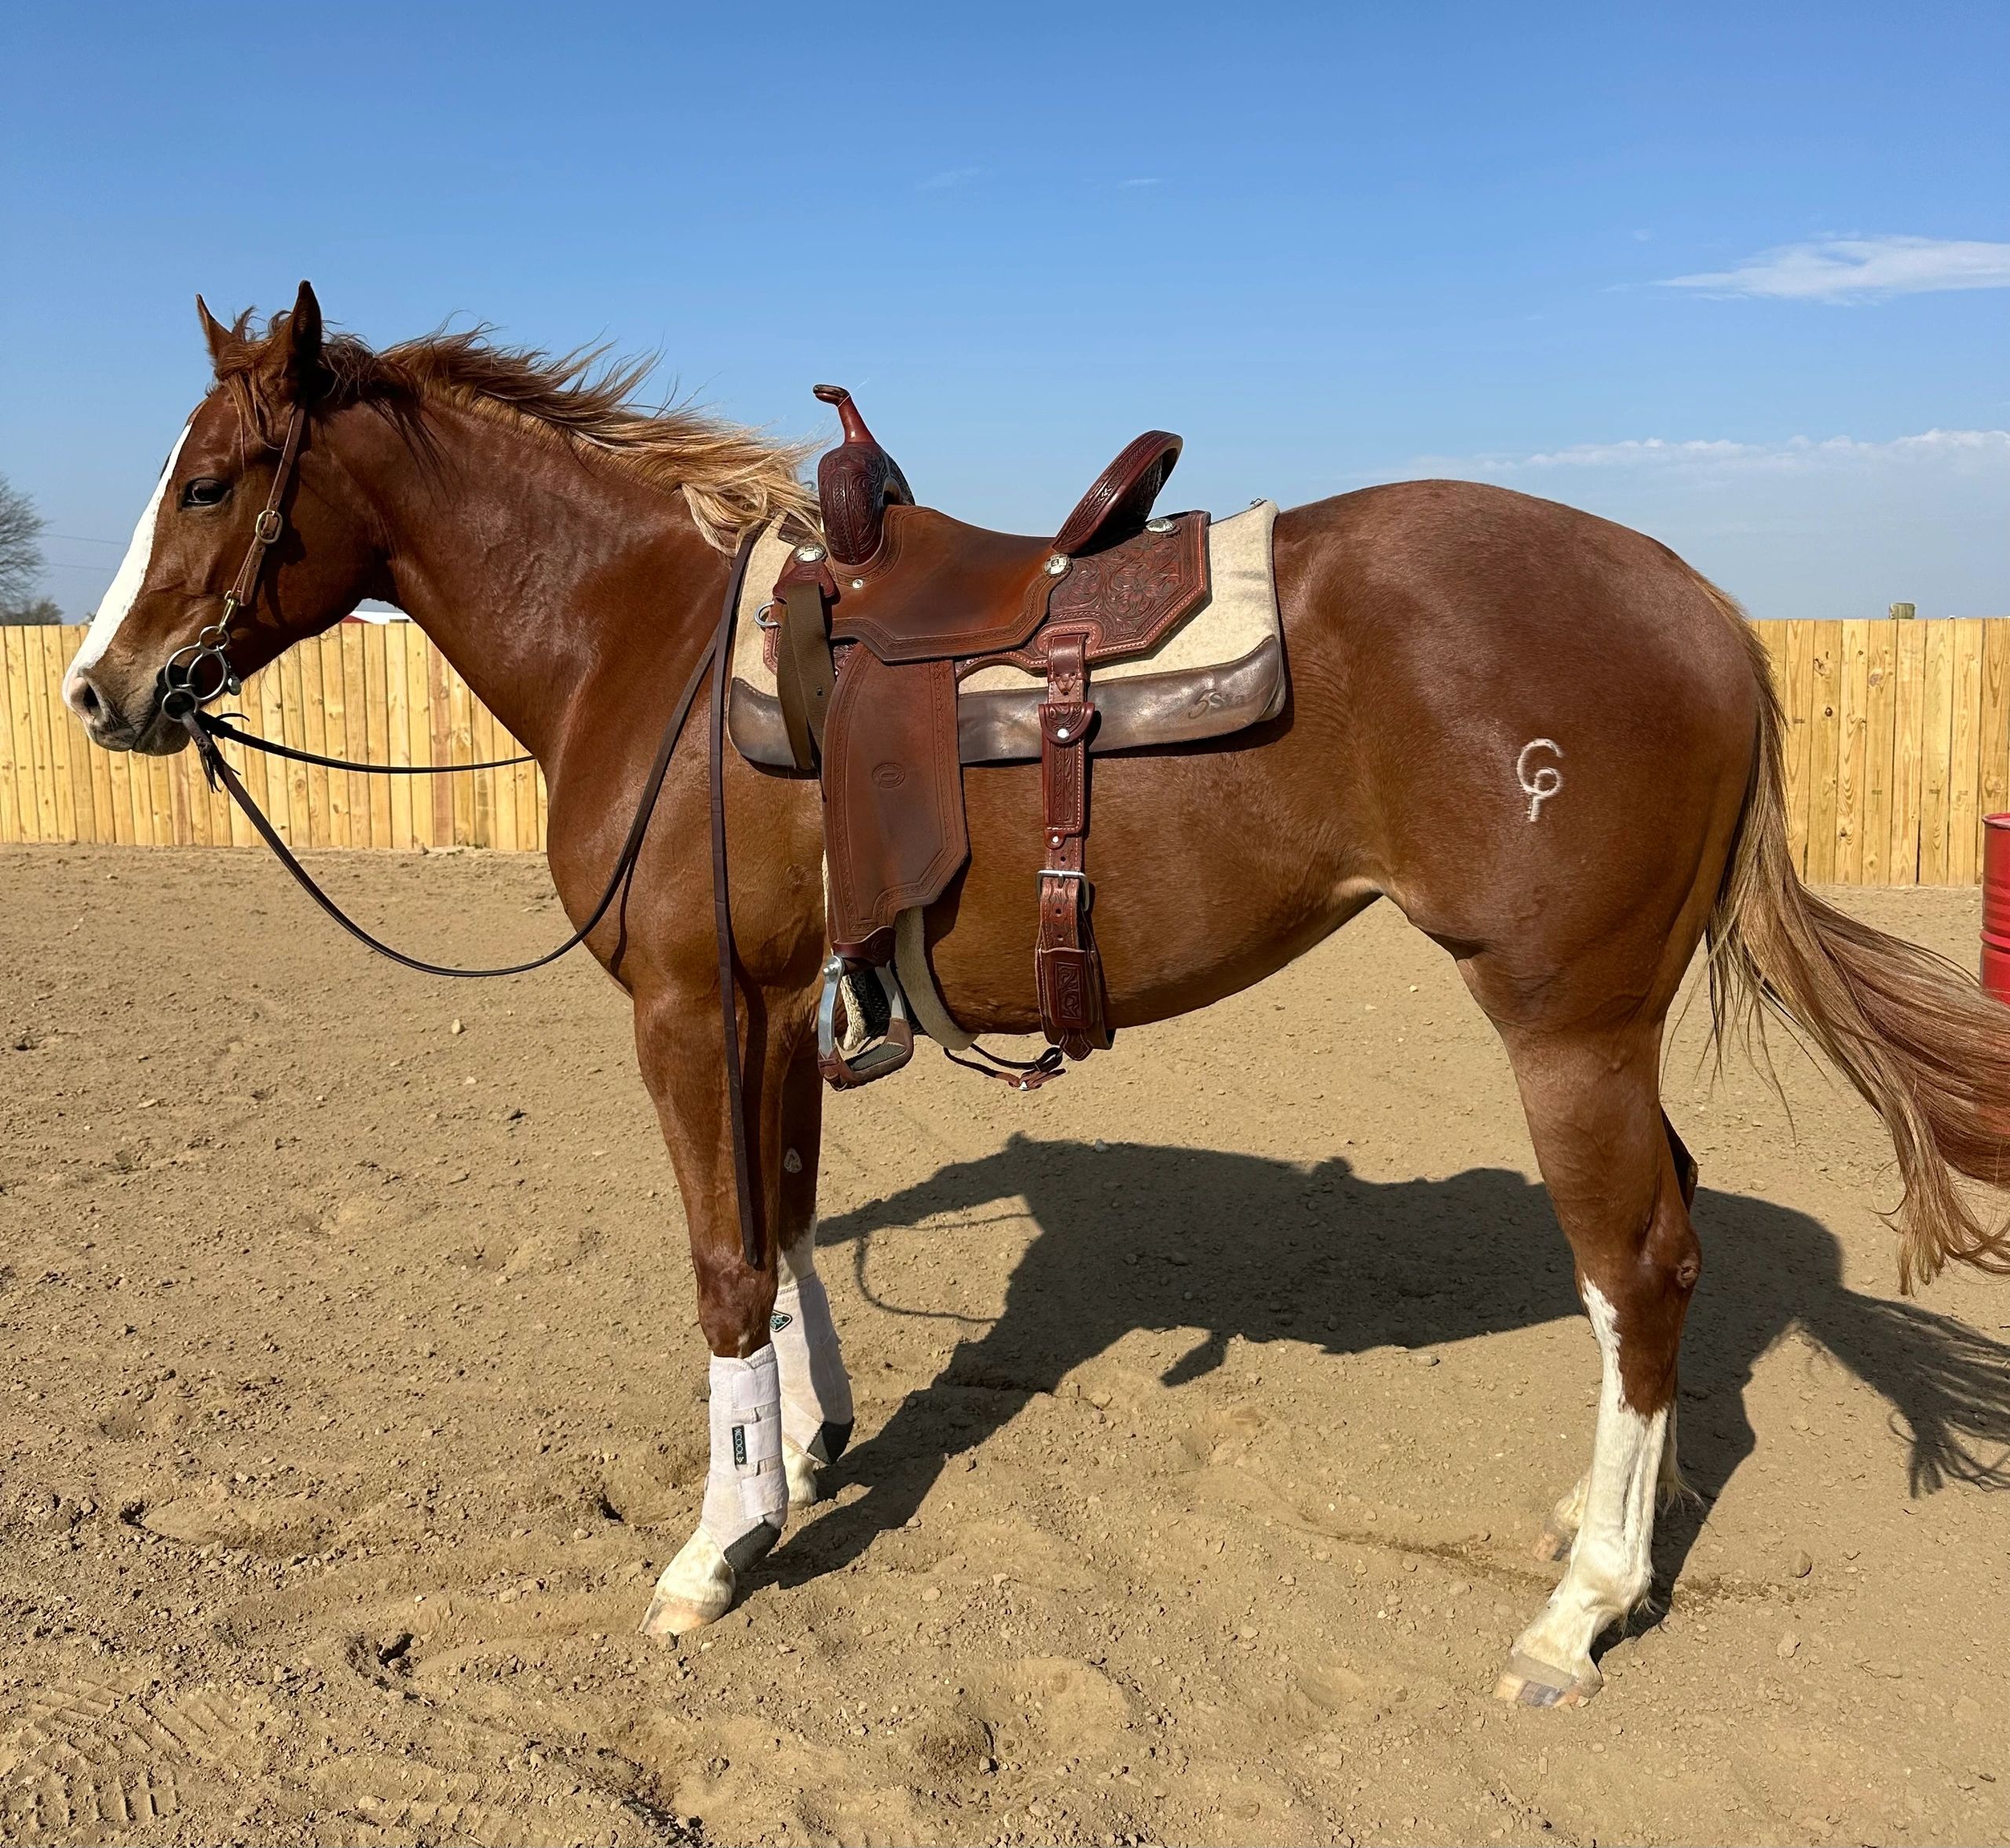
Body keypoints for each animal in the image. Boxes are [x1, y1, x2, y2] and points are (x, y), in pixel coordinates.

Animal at [64, 282, 2010, 1709]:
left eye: (215, 479)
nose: (96, 690)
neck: (649, 644)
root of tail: (1705, 609)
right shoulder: (778, 1003)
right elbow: (783, 1220)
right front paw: (804, 1457)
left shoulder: (686, 1008)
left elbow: (717, 1258)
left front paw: (712, 1551)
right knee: (1656, 1254)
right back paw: (1605, 1522)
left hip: (1564, 1027)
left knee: (1638, 1261)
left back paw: (1581, 1606)